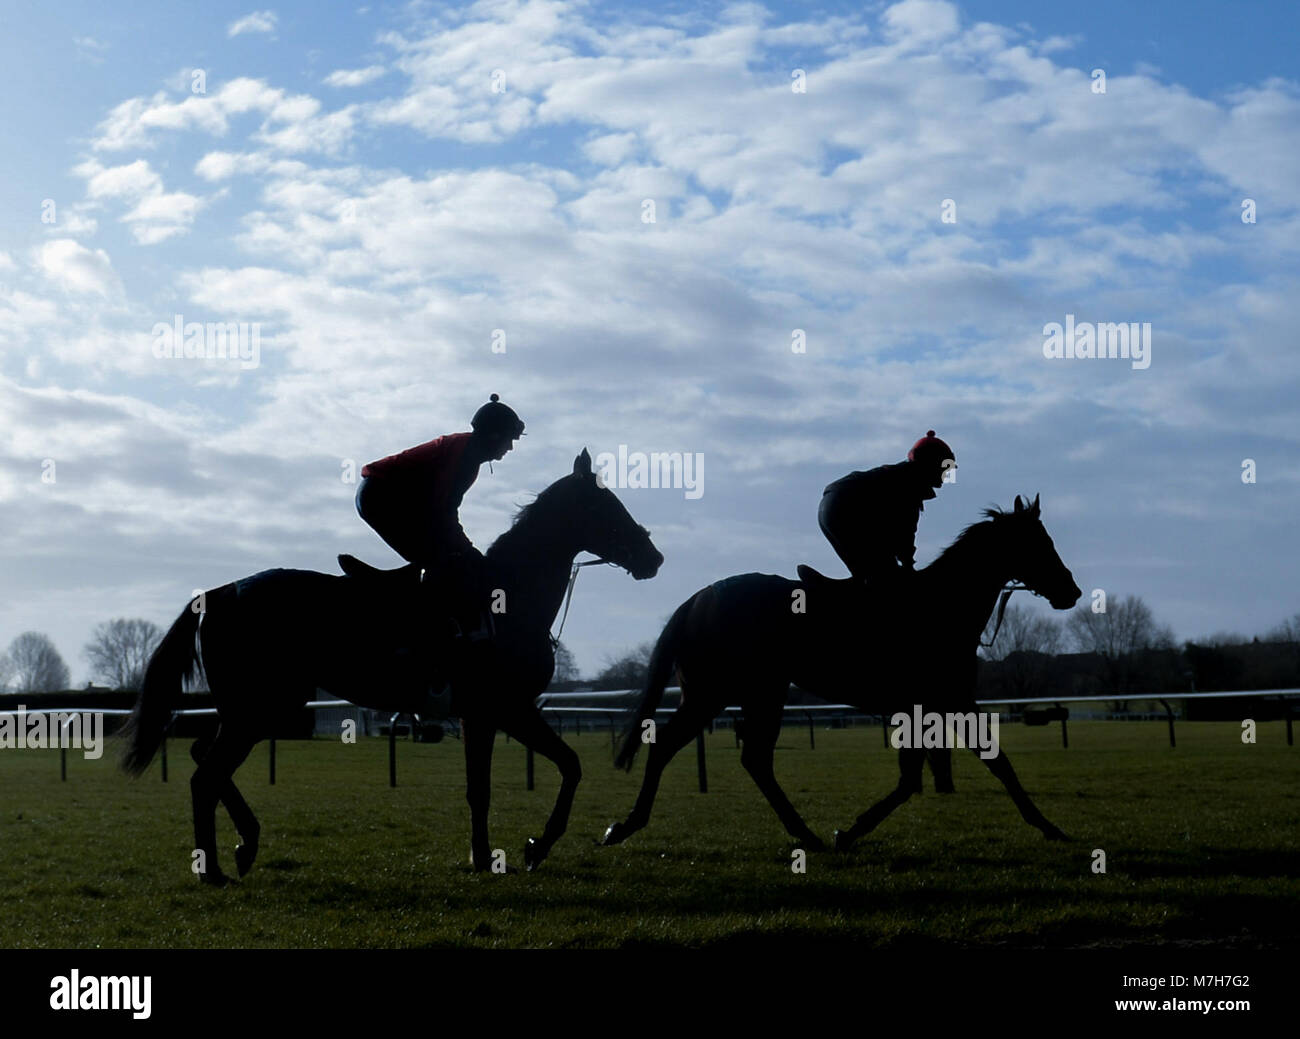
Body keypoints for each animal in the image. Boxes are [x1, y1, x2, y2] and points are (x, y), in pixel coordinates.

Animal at [120, 449, 662, 883]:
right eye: (607, 507)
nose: (654, 556)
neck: (509, 597)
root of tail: (217, 593)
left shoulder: (484, 715)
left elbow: (488, 787)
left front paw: (486, 855)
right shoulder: (505, 708)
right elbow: (563, 767)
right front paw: (534, 846)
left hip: (255, 707)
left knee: (201, 757)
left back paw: (245, 844)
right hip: (259, 707)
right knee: (205, 775)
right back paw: (213, 868)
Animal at [601, 494, 1080, 853]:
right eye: (1038, 542)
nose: (1072, 591)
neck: (940, 607)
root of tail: (697, 599)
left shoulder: (937, 706)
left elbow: (936, 773)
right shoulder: (946, 702)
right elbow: (986, 765)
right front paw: (1050, 826)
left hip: (739, 693)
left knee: (735, 756)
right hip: (726, 692)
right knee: (689, 749)